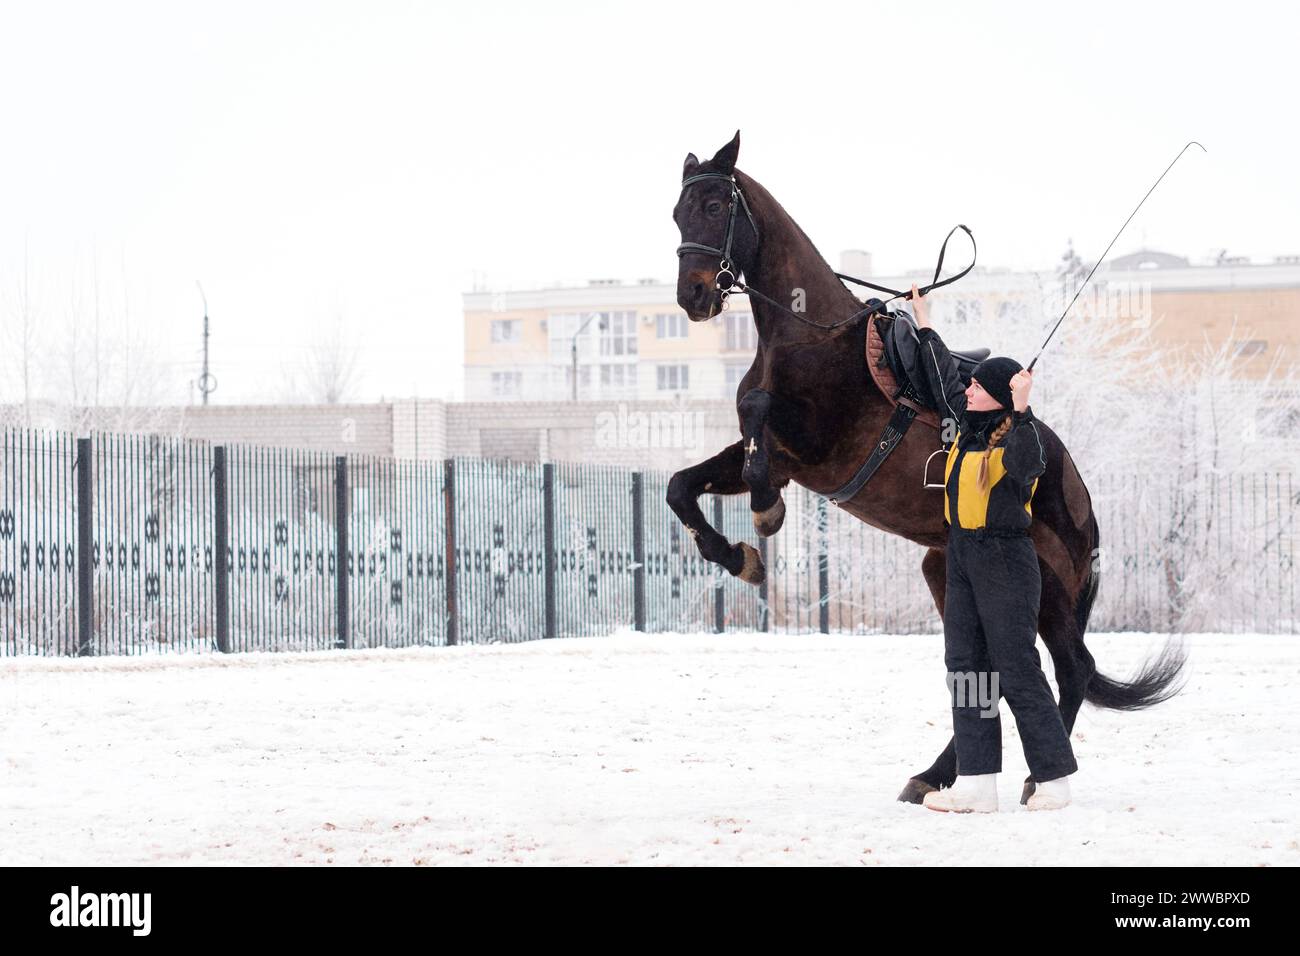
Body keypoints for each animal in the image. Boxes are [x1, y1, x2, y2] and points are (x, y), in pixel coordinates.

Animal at [666, 131, 1188, 805]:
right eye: (677, 213)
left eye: (714, 206)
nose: (693, 296)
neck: (810, 338)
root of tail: (1076, 486)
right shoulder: (780, 458)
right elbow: (682, 486)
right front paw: (740, 558)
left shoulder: (808, 449)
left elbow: (755, 419)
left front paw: (764, 516)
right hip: (947, 574)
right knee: (995, 673)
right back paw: (937, 775)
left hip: (1046, 587)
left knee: (1069, 668)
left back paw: (1035, 780)